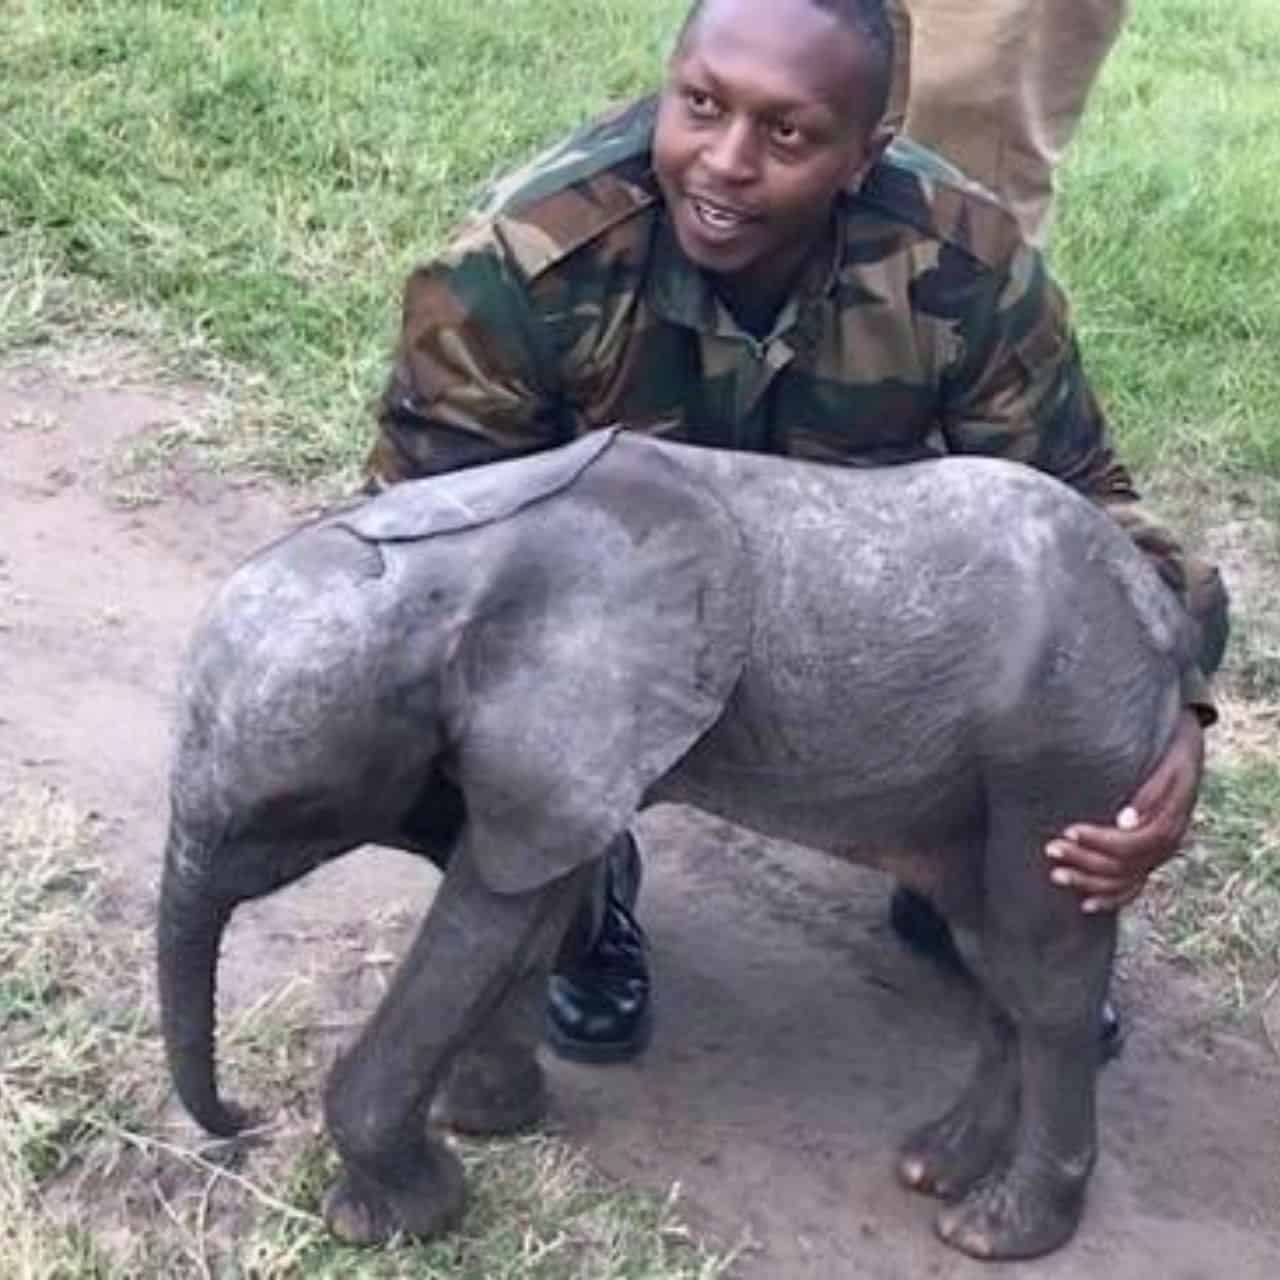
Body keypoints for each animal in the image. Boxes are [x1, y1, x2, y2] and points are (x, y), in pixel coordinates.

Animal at [157, 428, 1196, 1260]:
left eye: (285, 807)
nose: (244, 1121)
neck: (448, 559)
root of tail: (1160, 615)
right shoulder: (562, 741)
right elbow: (531, 905)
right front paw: (486, 1117)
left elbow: (486, 917)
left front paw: (397, 1215)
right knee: (995, 957)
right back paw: (935, 1167)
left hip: (1066, 753)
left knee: (1043, 972)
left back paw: (995, 1230)